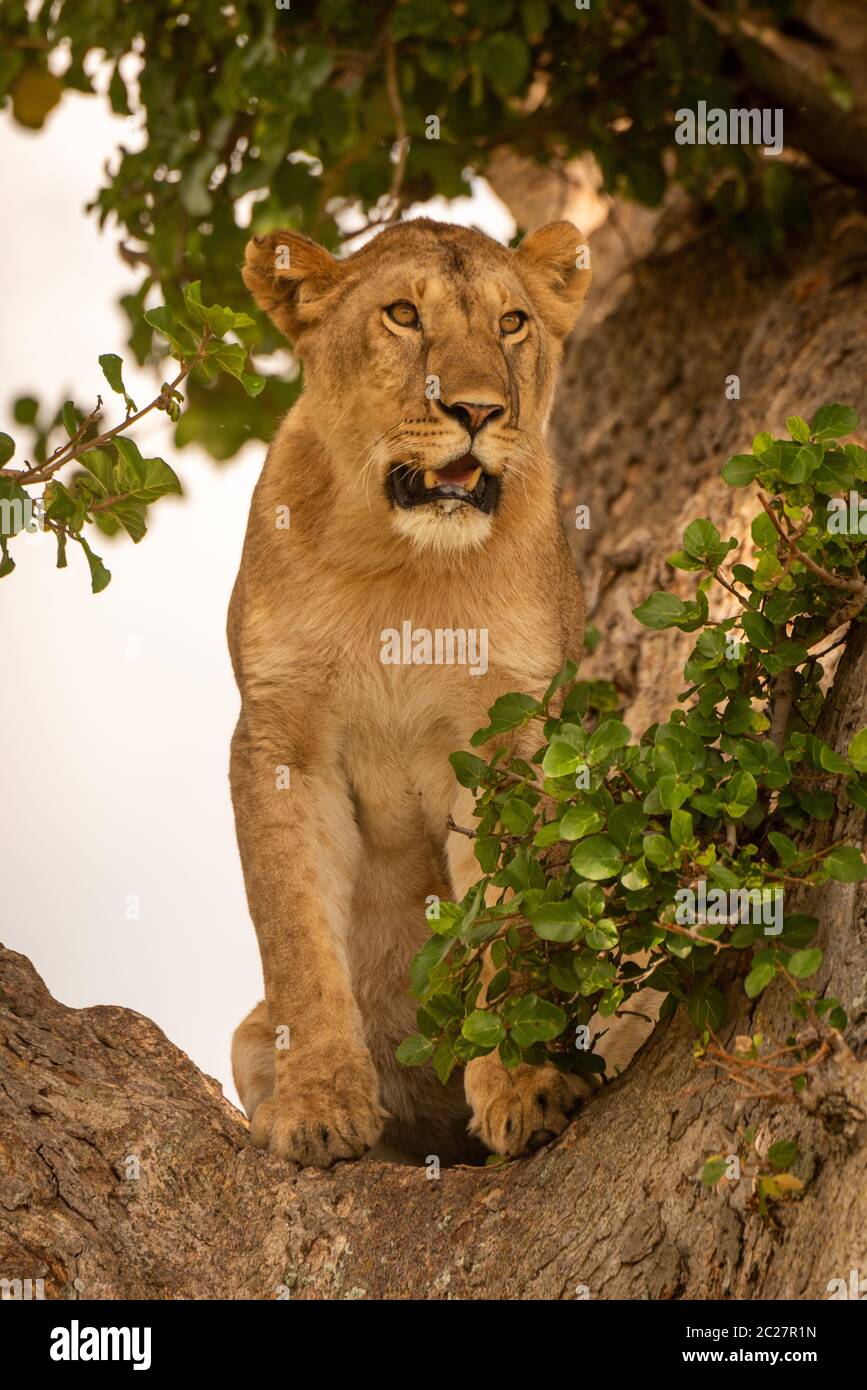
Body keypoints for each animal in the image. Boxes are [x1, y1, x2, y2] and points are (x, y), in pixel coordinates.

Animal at [229, 216, 658, 1166]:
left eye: (510, 323)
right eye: (401, 315)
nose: (478, 412)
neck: (402, 564)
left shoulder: (514, 734)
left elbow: (514, 922)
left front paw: (525, 1087)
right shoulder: (279, 737)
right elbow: (295, 933)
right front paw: (317, 1105)